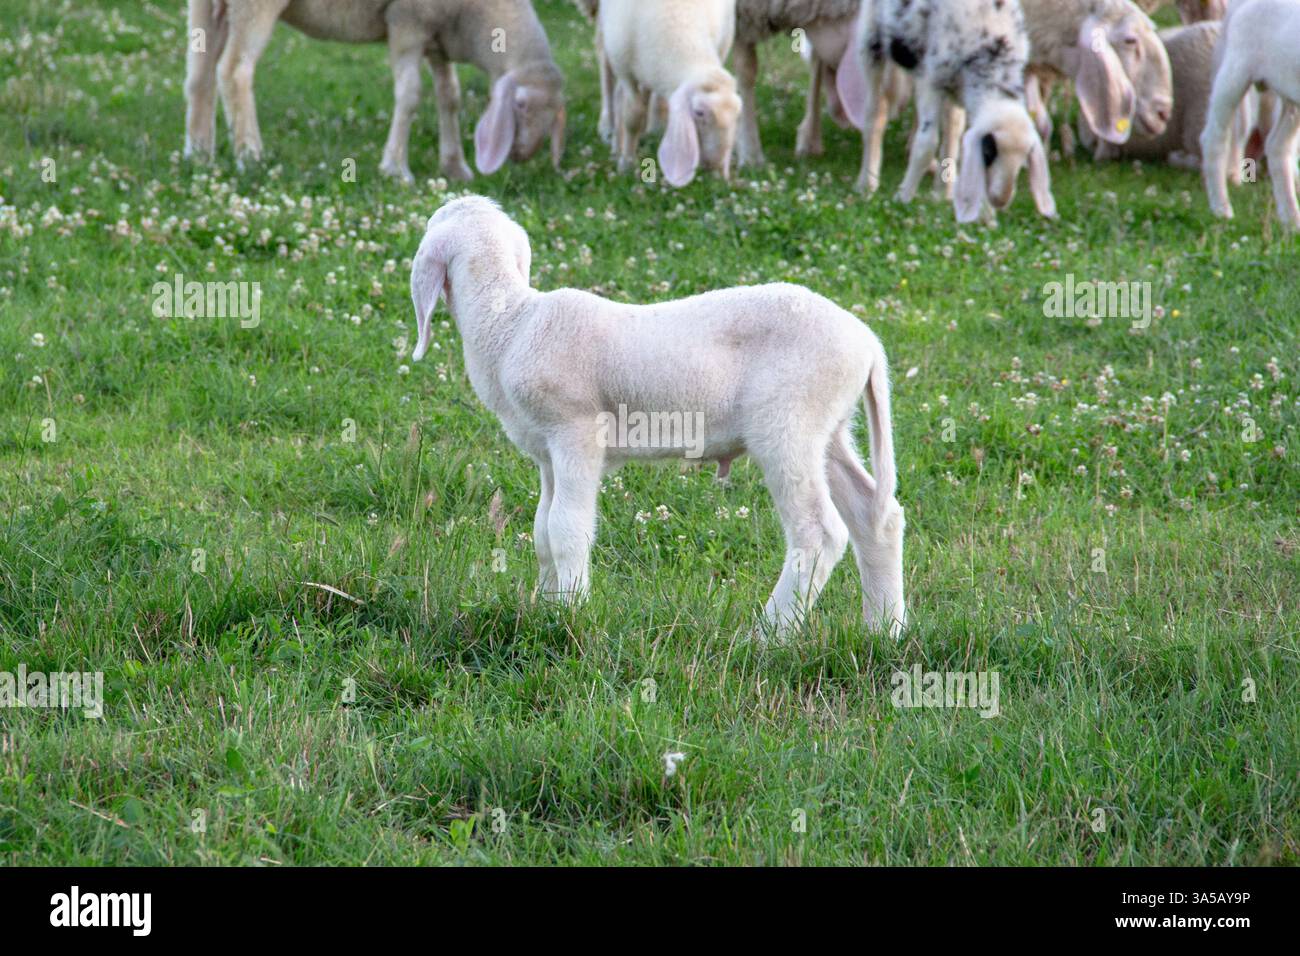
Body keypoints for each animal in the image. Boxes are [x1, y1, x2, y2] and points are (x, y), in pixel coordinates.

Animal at [183, 0, 566, 183]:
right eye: (521, 104)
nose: (521, 155)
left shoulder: (438, 37)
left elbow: (450, 96)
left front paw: (454, 165)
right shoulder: (407, 24)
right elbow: (410, 95)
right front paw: (395, 168)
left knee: (199, 75)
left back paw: (198, 154)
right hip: (254, 4)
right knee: (233, 70)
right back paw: (250, 154)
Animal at [409, 195, 907, 638]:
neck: (511, 325)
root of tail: (868, 344)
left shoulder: (575, 432)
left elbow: (566, 529)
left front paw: (570, 615)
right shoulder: (545, 452)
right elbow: (542, 532)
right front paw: (545, 609)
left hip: (788, 424)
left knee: (819, 533)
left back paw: (771, 635)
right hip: (828, 430)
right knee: (875, 516)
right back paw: (884, 631)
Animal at [597, 0, 743, 186]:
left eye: (737, 114)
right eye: (699, 113)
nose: (717, 168)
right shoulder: (625, 71)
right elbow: (633, 117)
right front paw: (626, 165)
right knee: (619, 96)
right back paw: (617, 146)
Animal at [838, 0, 1057, 223]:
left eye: (1024, 160)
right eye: (988, 152)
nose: (1000, 200)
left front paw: (987, 216)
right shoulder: (930, 81)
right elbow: (925, 145)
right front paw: (903, 196)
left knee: (952, 127)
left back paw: (942, 194)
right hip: (871, 42)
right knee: (874, 115)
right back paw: (867, 183)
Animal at [1201, 0, 1300, 231]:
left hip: (1290, 97)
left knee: (1277, 146)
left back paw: (1292, 221)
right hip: (1234, 73)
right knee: (1214, 138)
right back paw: (1221, 209)